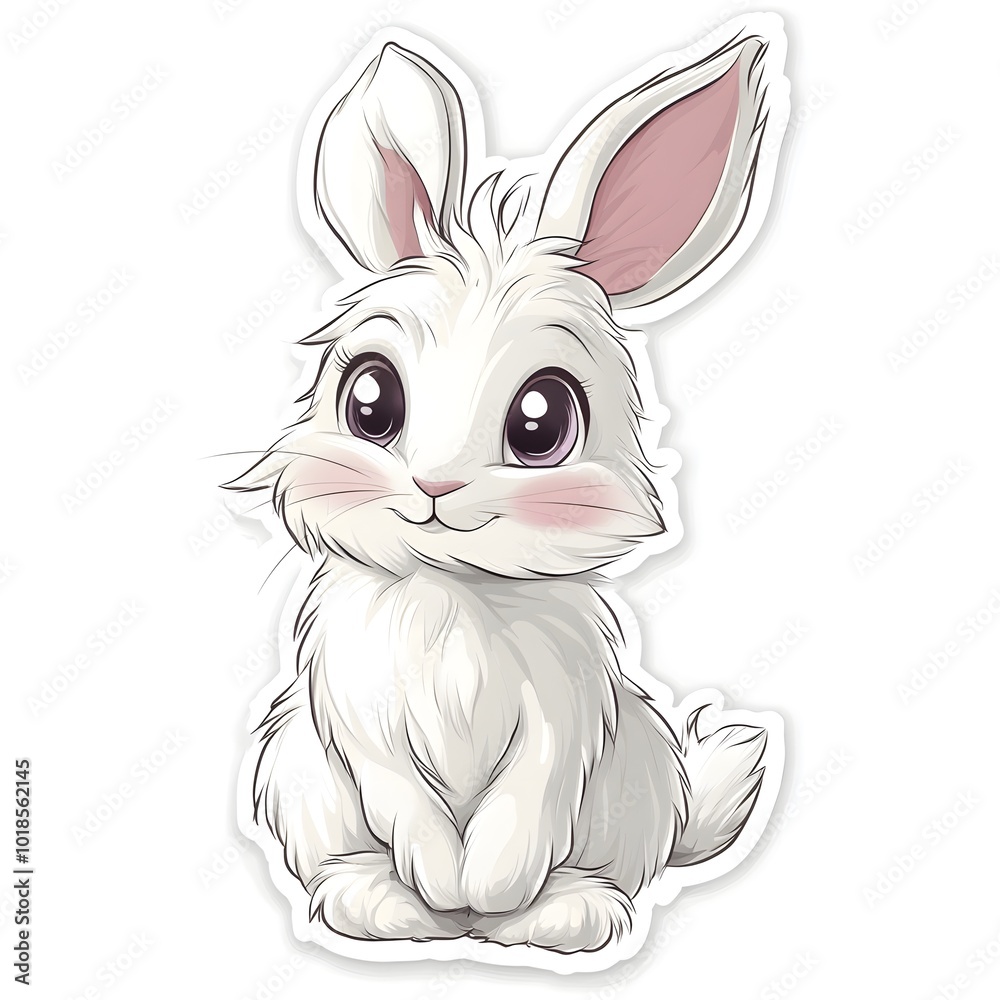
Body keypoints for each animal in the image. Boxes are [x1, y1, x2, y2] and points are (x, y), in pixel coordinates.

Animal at [229, 15, 789, 966]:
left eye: (541, 420)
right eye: (369, 399)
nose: (434, 484)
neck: (451, 591)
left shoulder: (565, 720)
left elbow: (527, 801)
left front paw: (487, 890)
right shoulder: (359, 716)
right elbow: (404, 797)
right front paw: (441, 886)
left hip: (633, 778)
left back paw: (550, 918)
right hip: (301, 780)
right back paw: (392, 909)